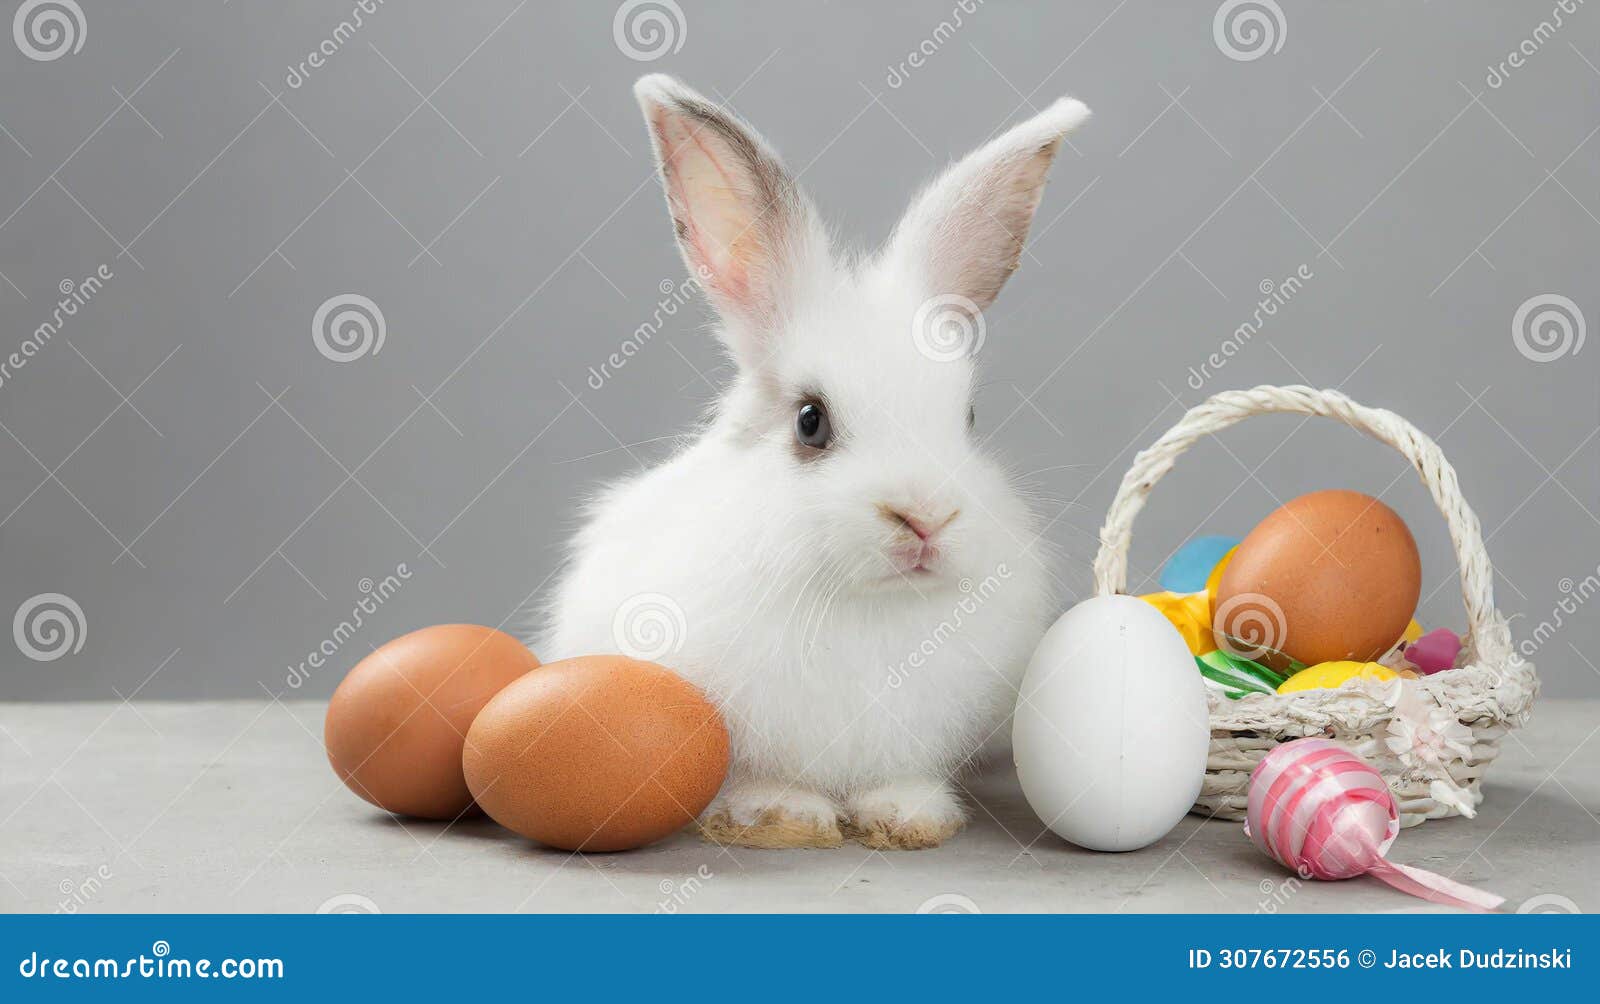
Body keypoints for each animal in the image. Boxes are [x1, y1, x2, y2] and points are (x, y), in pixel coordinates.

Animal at [538, 74, 1090, 850]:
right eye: (810, 421)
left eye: (969, 418)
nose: (925, 518)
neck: (866, 604)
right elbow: (759, 780)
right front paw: (782, 817)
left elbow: (899, 781)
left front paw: (909, 820)